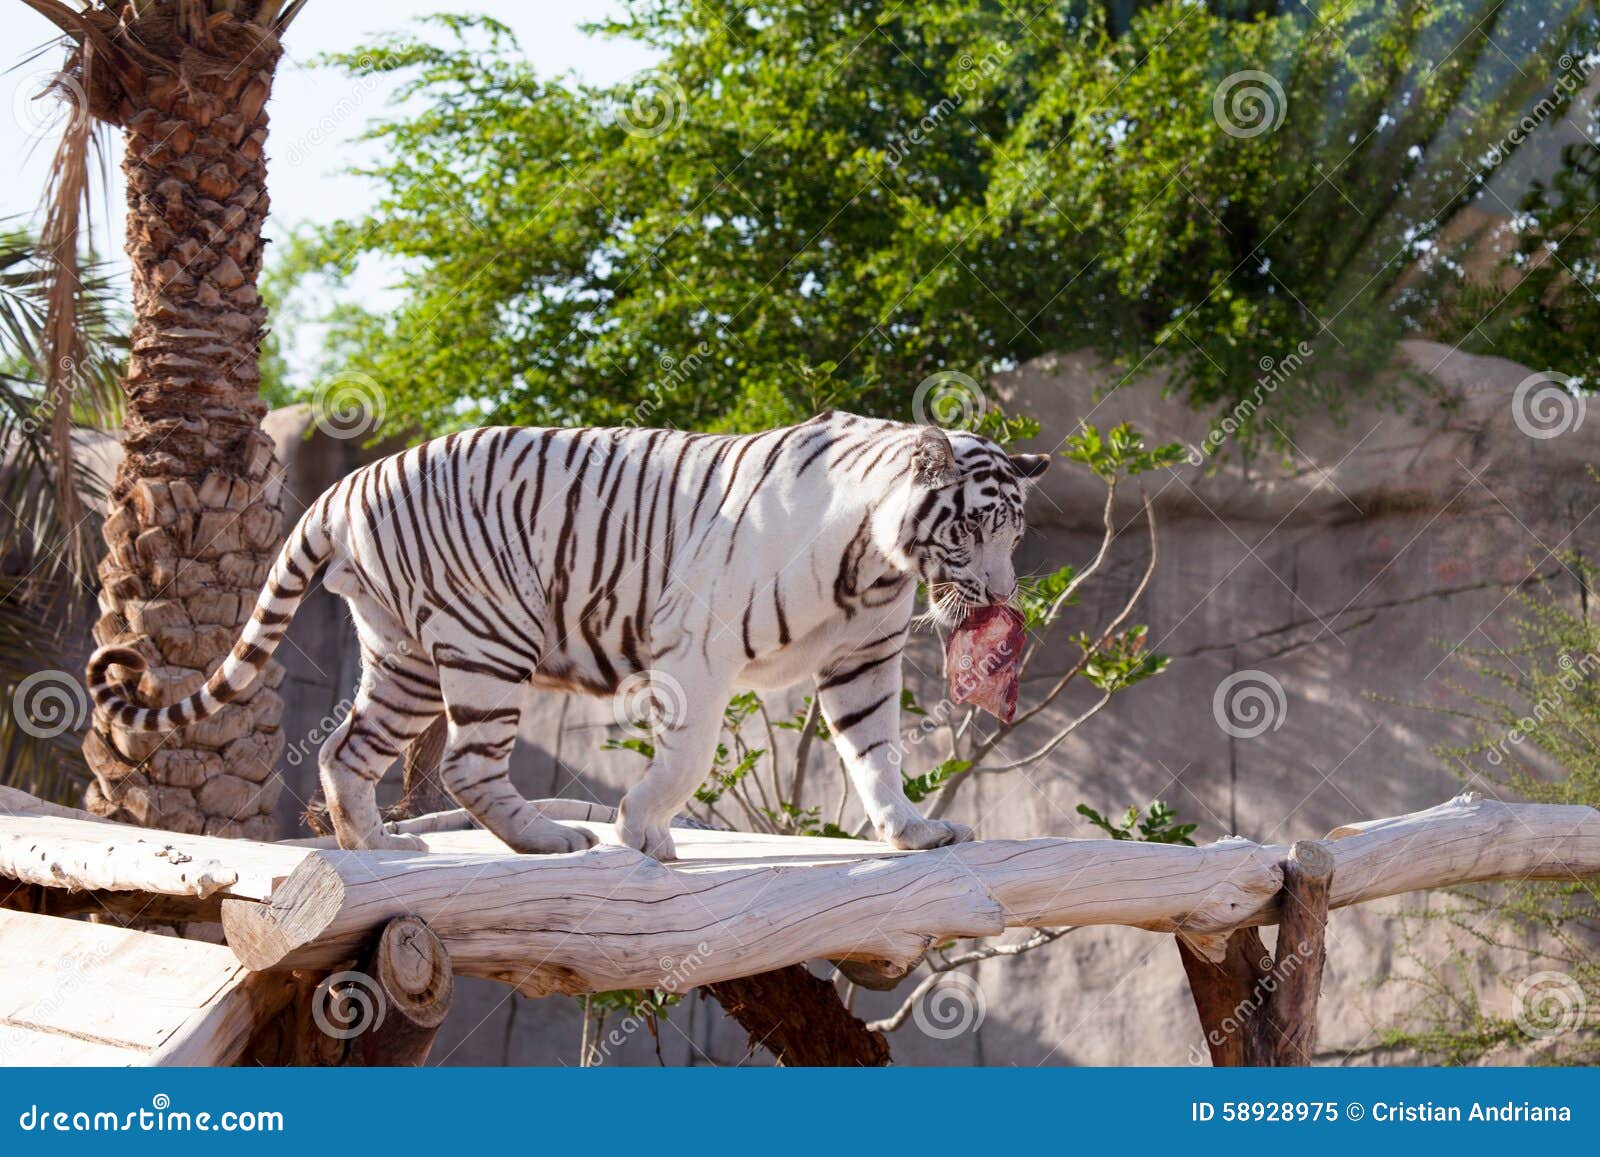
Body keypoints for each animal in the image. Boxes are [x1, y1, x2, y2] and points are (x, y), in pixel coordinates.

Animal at [88, 411, 1049, 860]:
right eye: (971, 530)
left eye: (1016, 534)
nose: (1003, 595)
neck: (875, 561)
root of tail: (347, 482)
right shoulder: (697, 653)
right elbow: (686, 760)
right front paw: (641, 831)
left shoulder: (862, 659)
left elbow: (877, 752)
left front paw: (910, 832)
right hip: (486, 642)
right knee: (464, 765)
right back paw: (552, 840)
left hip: (402, 657)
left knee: (346, 750)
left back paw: (377, 845)